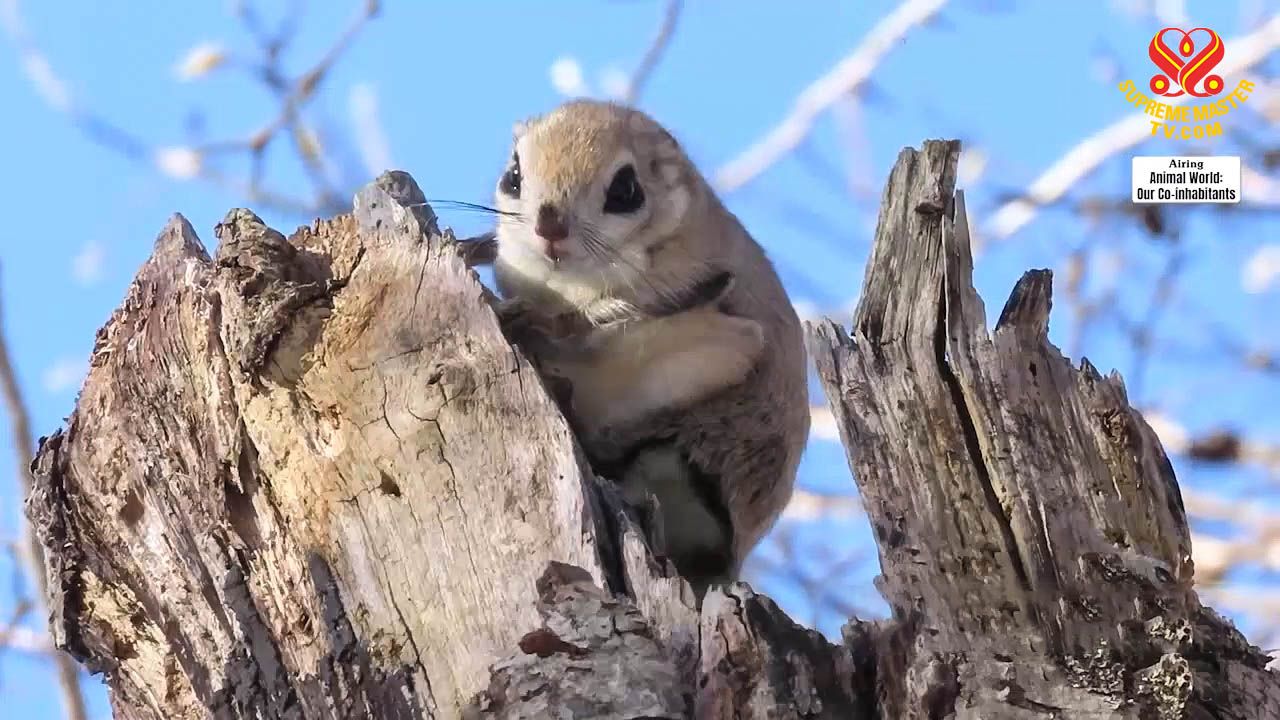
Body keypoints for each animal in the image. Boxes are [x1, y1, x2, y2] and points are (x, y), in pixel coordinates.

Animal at [463, 100, 809, 597]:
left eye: (626, 190)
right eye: (514, 175)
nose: (551, 226)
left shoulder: (683, 289)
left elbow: (587, 318)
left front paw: (533, 316)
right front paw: (471, 247)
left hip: (716, 354)